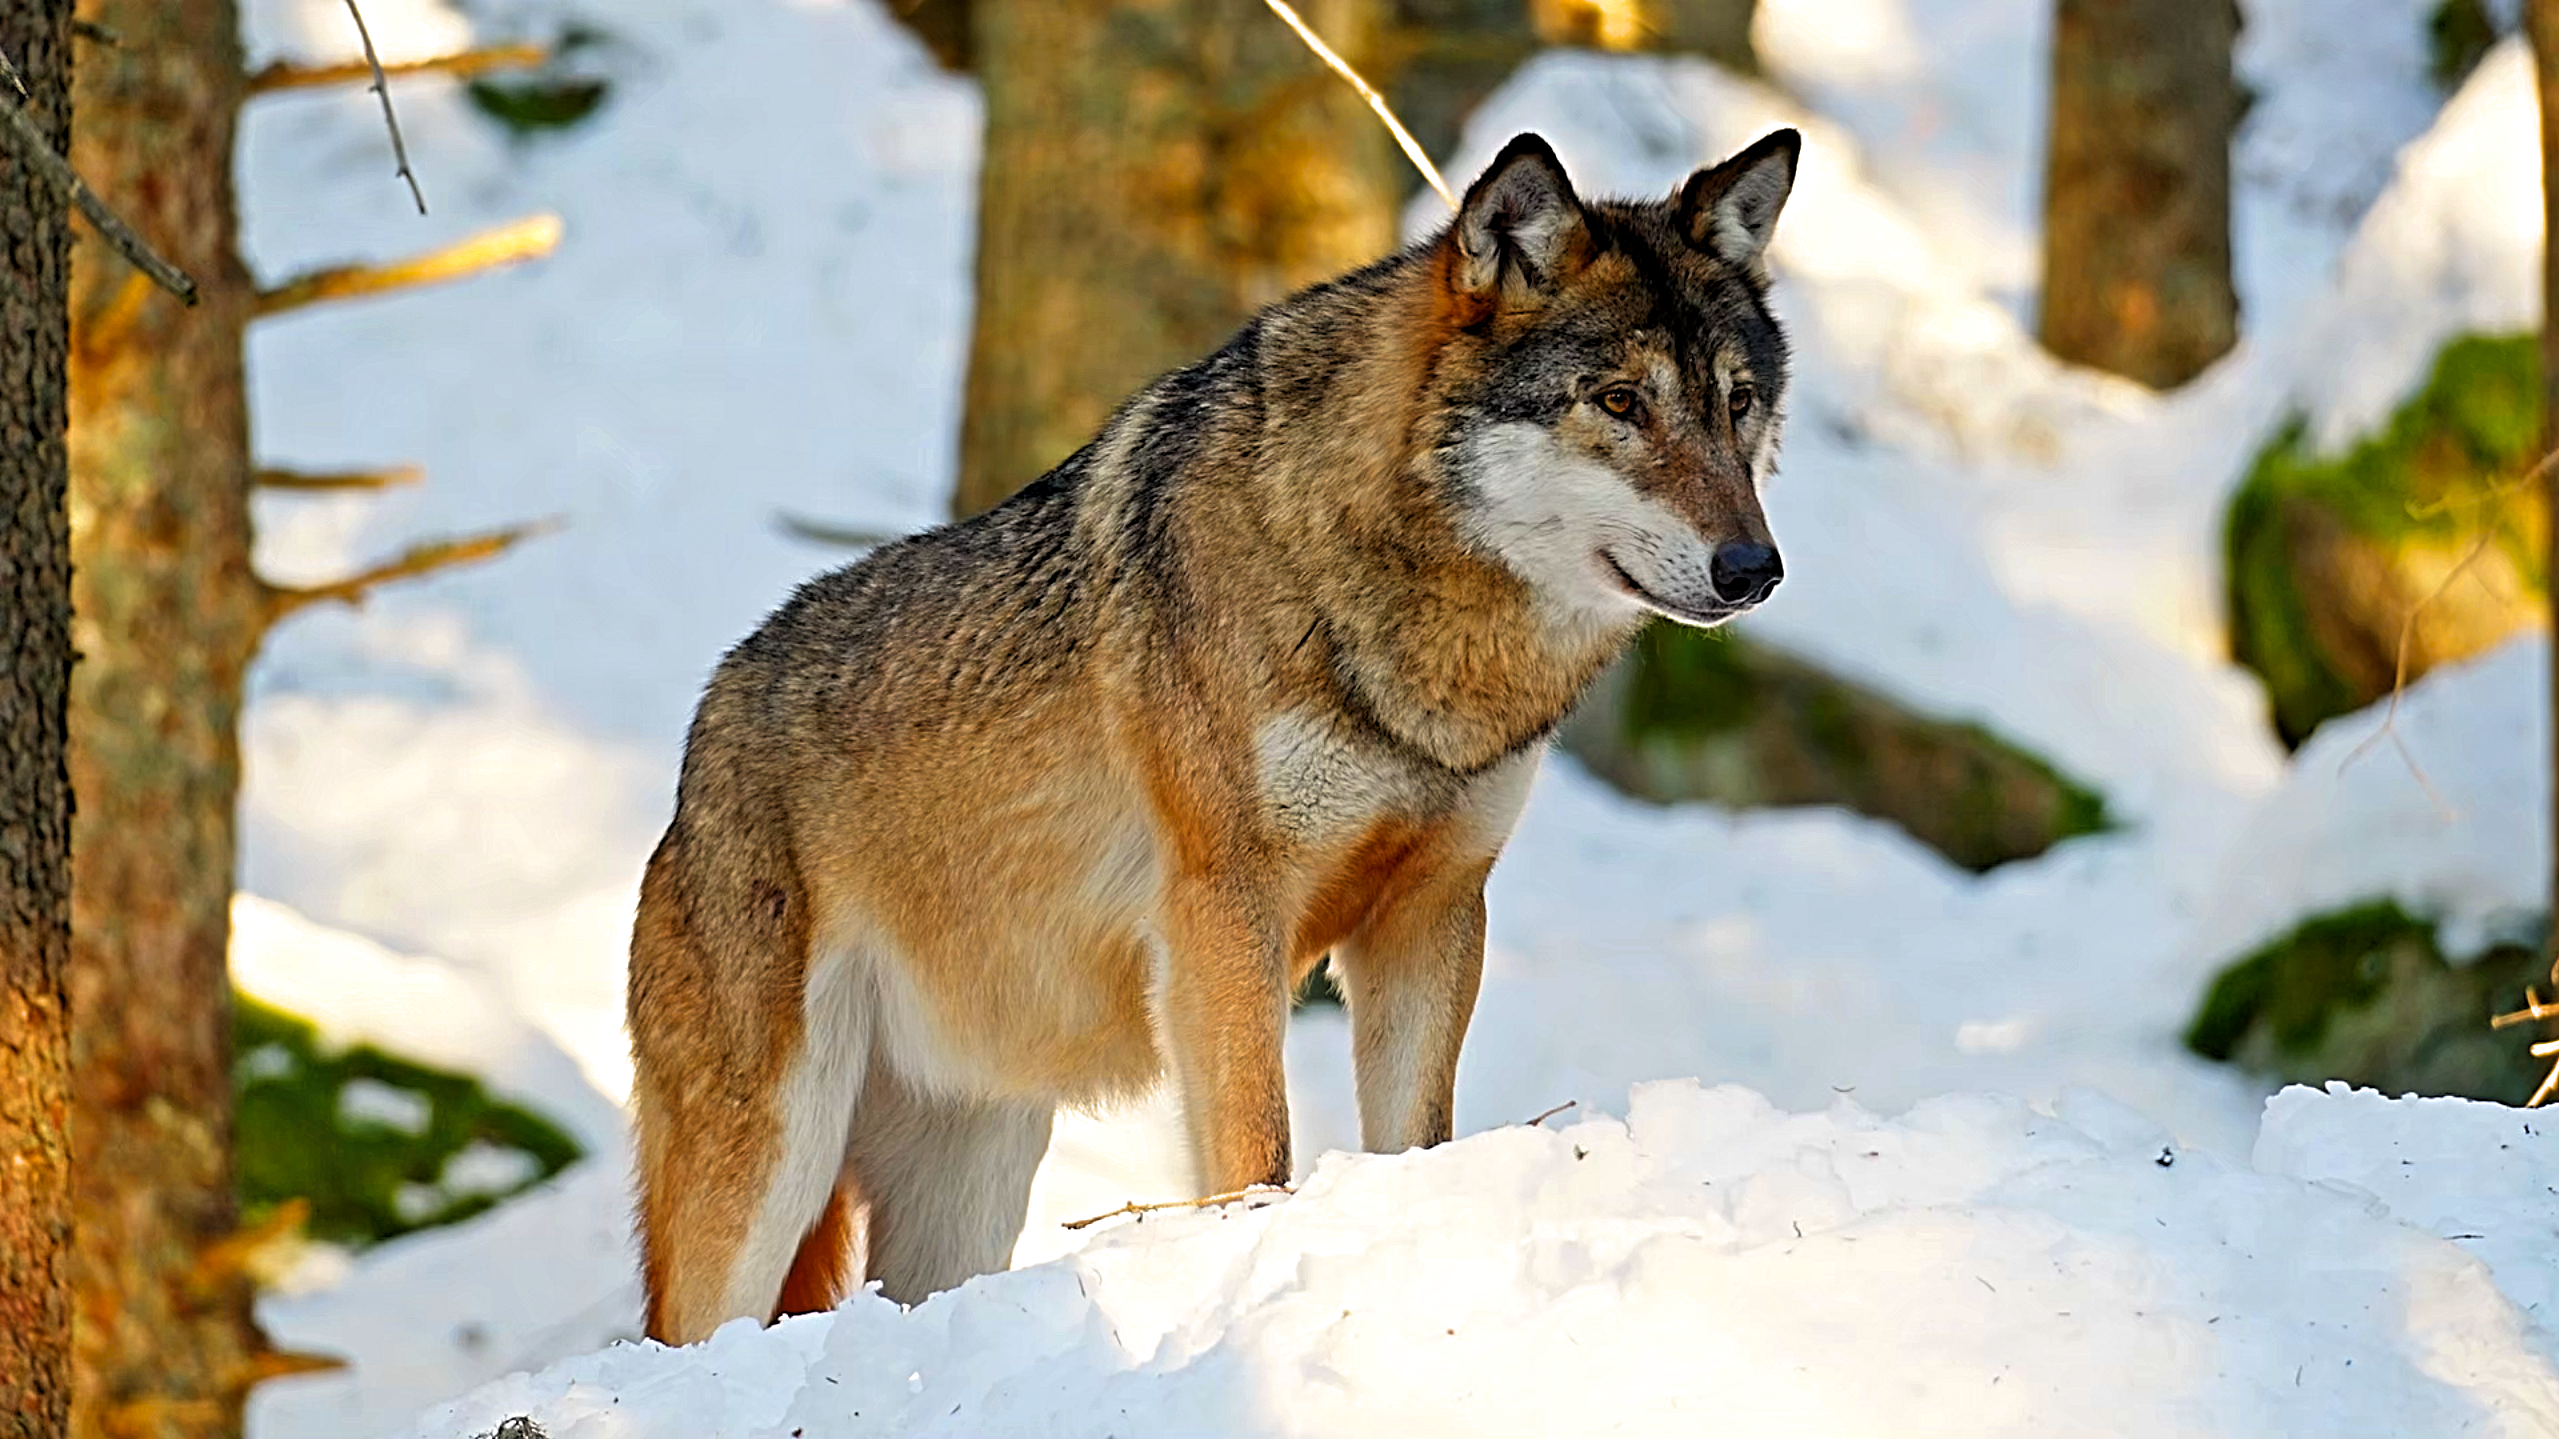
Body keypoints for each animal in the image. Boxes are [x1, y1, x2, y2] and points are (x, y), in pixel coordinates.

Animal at [627, 128, 1800, 1343]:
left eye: (1738, 403)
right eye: (1618, 401)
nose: (1754, 570)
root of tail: (702, 737)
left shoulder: (1433, 910)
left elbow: (1412, 1135)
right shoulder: (1223, 907)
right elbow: (1255, 1144)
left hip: (968, 1185)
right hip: (770, 1171)